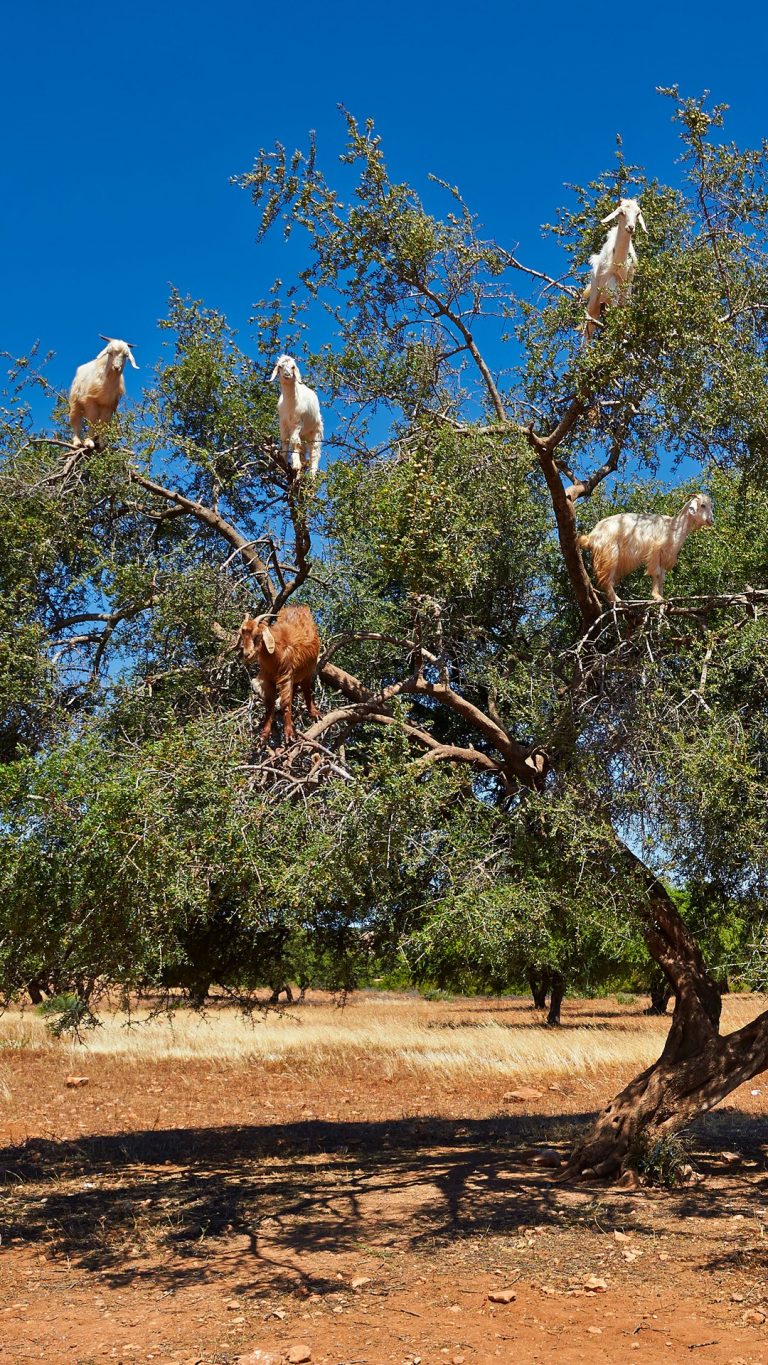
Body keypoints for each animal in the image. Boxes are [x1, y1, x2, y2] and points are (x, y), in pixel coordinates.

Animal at [237, 604, 321, 743]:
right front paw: (264, 735)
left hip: (308, 669)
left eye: (257, 635)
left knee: (306, 687)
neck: (275, 652)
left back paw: (314, 712)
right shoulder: (267, 679)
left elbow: (285, 703)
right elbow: (270, 705)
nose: (246, 654)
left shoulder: (286, 675)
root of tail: (298, 606)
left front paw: (289, 733)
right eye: (242, 636)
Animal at [578, 494, 715, 606]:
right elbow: (656, 574)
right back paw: (618, 600)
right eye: (702, 505)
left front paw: (662, 597)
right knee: (606, 580)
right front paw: (656, 596)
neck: (672, 527)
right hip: (609, 554)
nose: (711, 520)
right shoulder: (655, 552)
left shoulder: (663, 556)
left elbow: (662, 578)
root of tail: (592, 536)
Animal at [583, 198, 646, 340]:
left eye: (638, 214)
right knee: (588, 328)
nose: (630, 227)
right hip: (594, 300)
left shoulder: (627, 287)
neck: (619, 264)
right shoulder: (611, 285)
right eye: (621, 212)